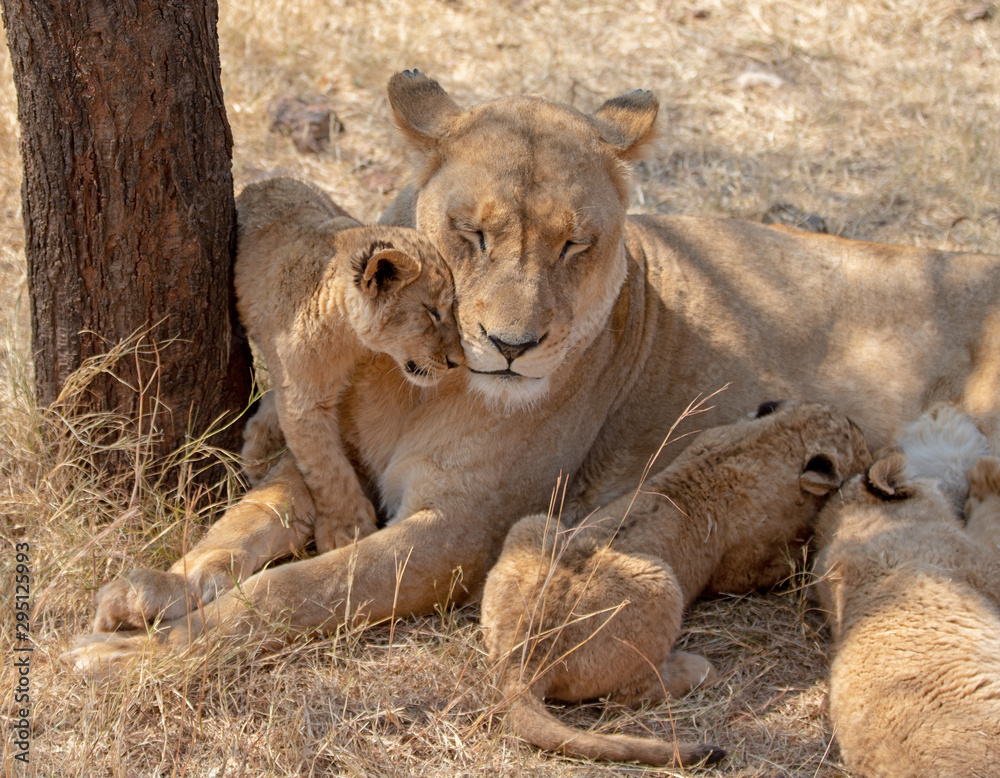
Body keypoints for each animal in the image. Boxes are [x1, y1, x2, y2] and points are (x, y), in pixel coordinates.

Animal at [235, 176, 464, 552]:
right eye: (432, 312)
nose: (457, 361)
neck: (350, 340)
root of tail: (267, 178)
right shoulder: (303, 401)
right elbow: (328, 468)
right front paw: (348, 529)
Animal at [481, 401, 871, 767]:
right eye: (858, 434)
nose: (871, 461)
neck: (777, 436)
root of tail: (523, 653)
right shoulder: (740, 569)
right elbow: (786, 564)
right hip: (663, 584)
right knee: (626, 695)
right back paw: (697, 670)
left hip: (535, 526)